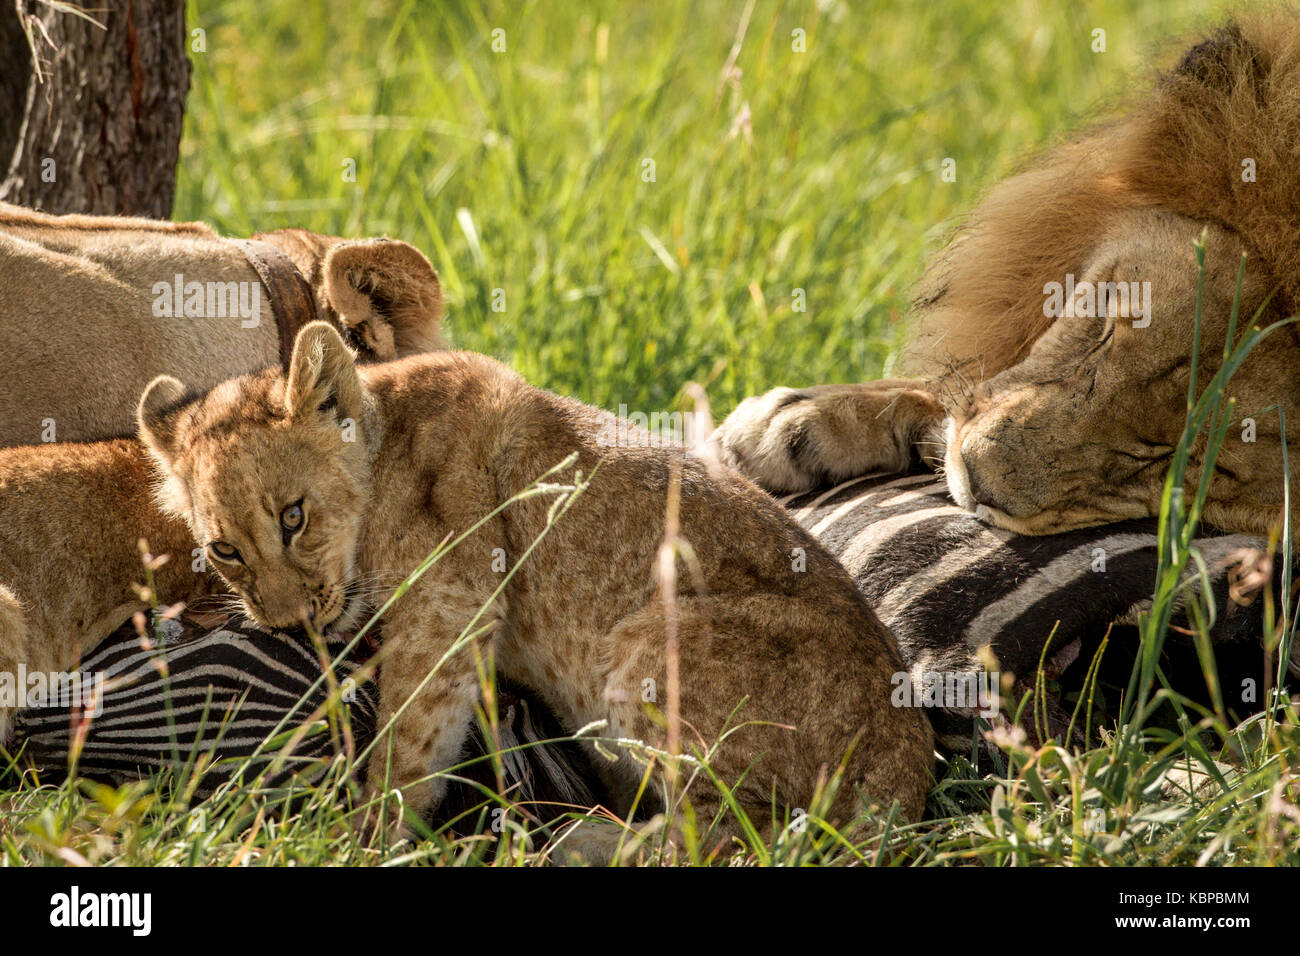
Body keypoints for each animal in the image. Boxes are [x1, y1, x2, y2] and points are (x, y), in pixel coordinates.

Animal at [135, 322, 934, 850]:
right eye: (225, 550)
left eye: (293, 517)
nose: (290, 625)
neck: (381, 447)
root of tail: (910, 770)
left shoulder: (452, 601)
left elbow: (409, 740)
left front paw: (370, 840)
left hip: (646, 642)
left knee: (738, 837)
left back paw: (570, 845)